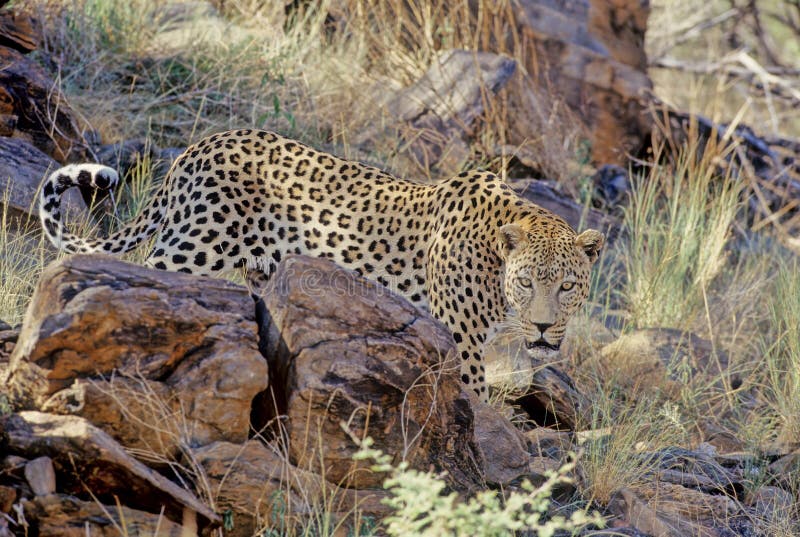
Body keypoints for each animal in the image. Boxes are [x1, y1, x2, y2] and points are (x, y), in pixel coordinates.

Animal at [39, 129, 604, 402]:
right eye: (526, 282)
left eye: (568, 286)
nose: (543, 327)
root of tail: (198, 146)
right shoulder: (461, 342)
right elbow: (478, 402)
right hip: (194, 246)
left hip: (260, 272)